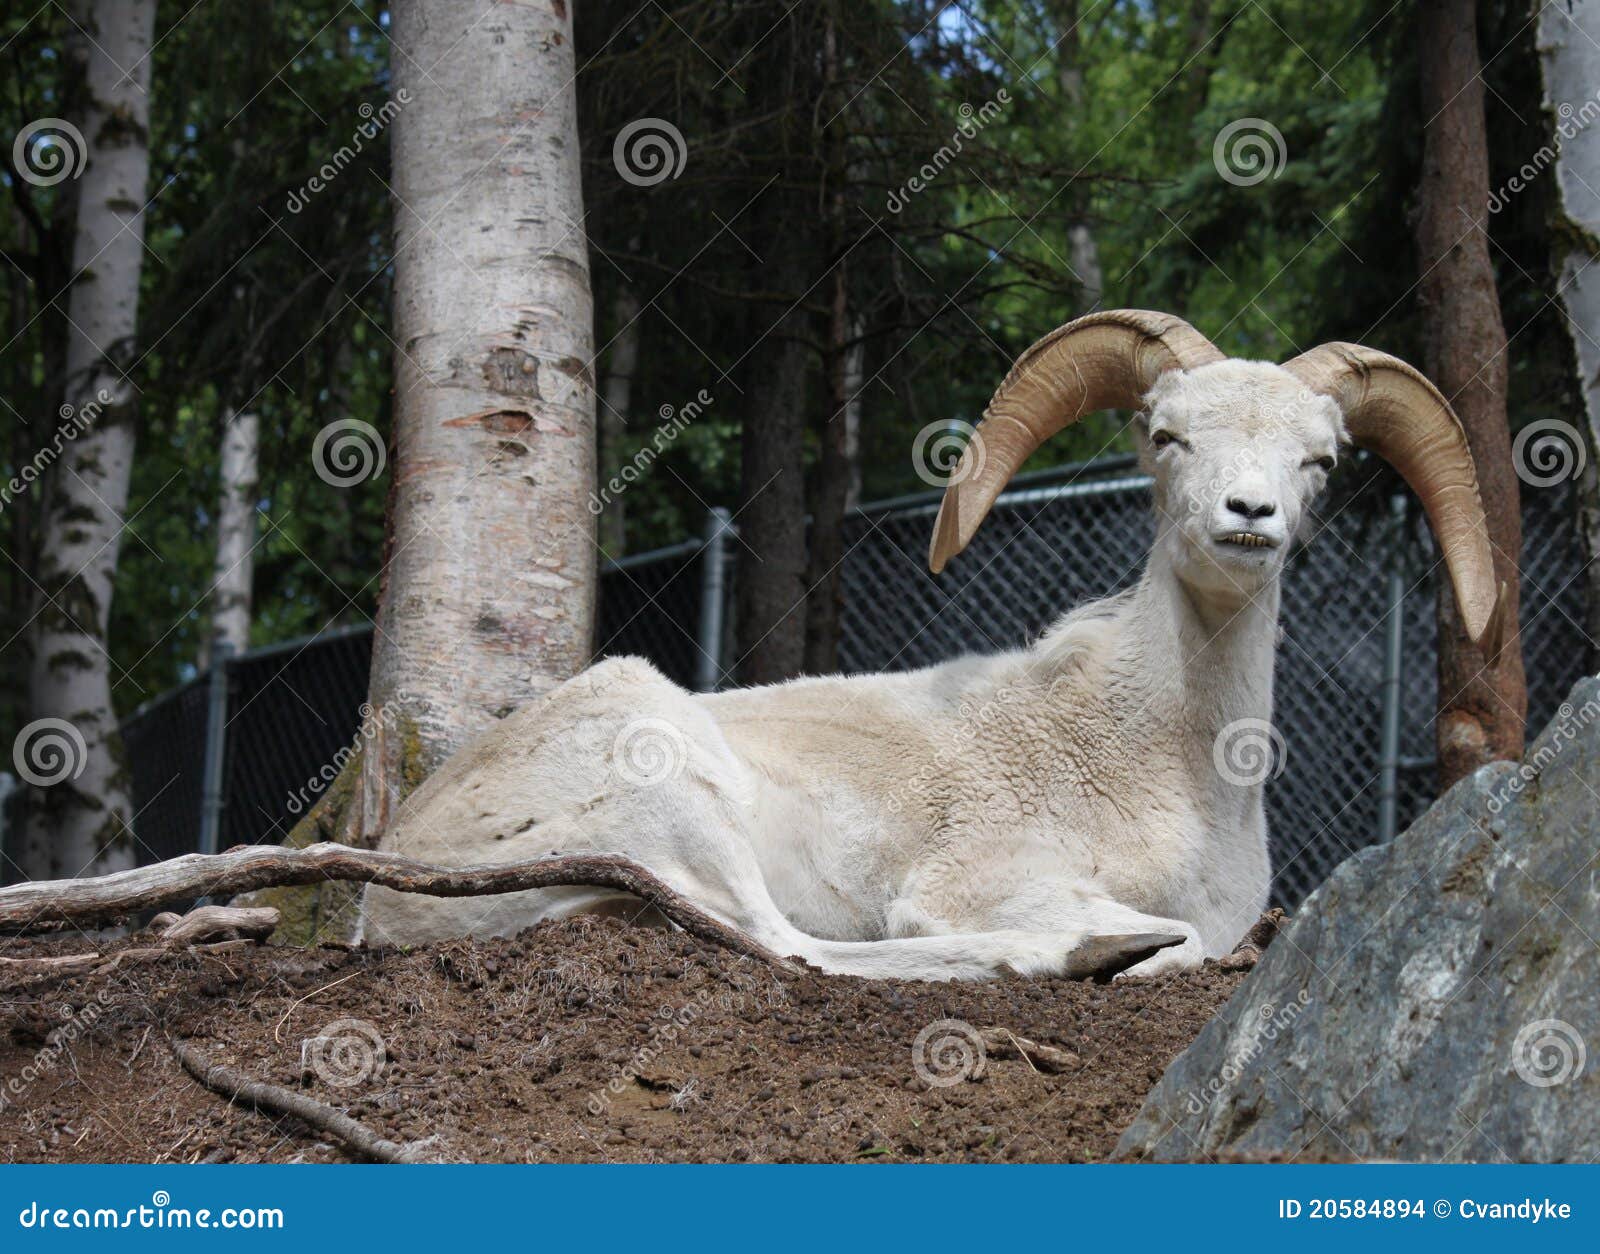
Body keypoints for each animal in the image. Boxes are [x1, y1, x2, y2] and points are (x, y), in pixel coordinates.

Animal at [361, 310, 1501, 981]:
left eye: (1320, 459)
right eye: (1166, 434)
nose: (1247, 516)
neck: (1168, 768)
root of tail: (396, 888)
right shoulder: (983, 882)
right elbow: (1153, 941)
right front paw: (1110, 942)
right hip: (667, 782)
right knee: (795, 949)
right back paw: (1080, 951)